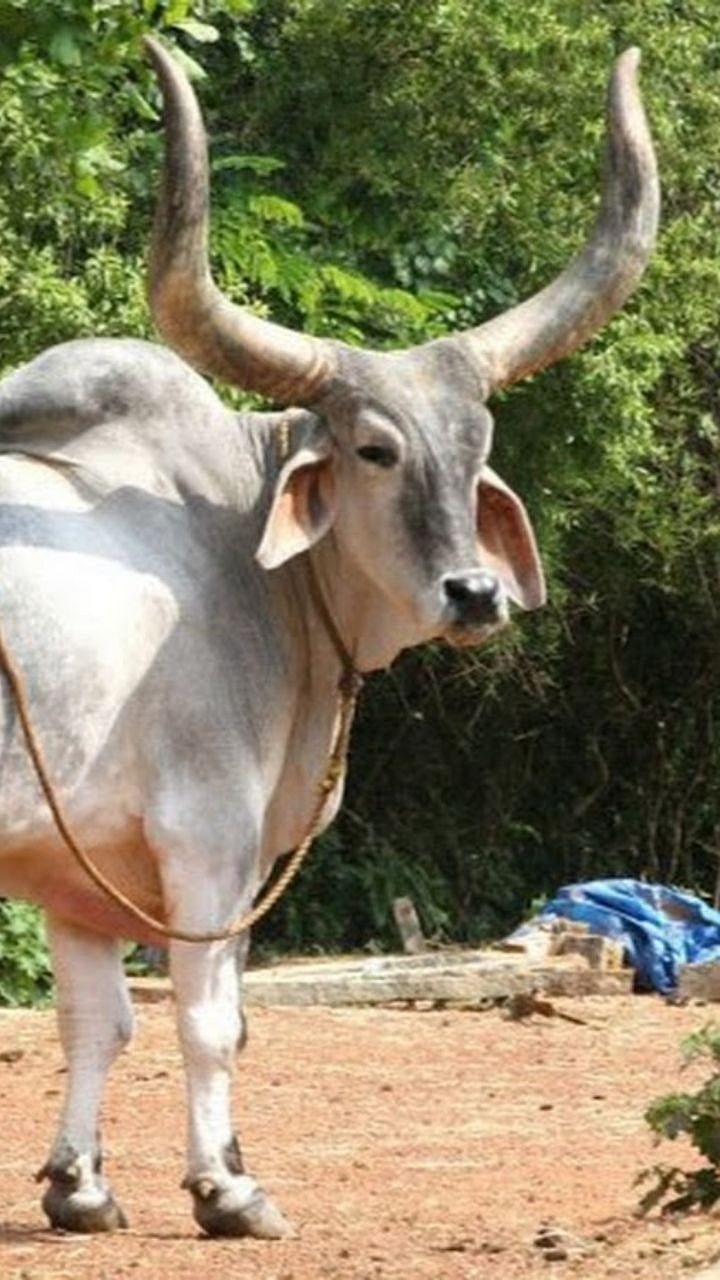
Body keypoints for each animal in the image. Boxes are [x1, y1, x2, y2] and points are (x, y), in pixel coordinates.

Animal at [0, 37, 658, 1239]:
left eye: (477, 443)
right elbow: (210, 1021)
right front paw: (228, 1187)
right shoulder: (208, 842)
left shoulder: (80, 864)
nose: (475, 593)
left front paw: (81, 1184)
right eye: (374, 448)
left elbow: (98, 1018)